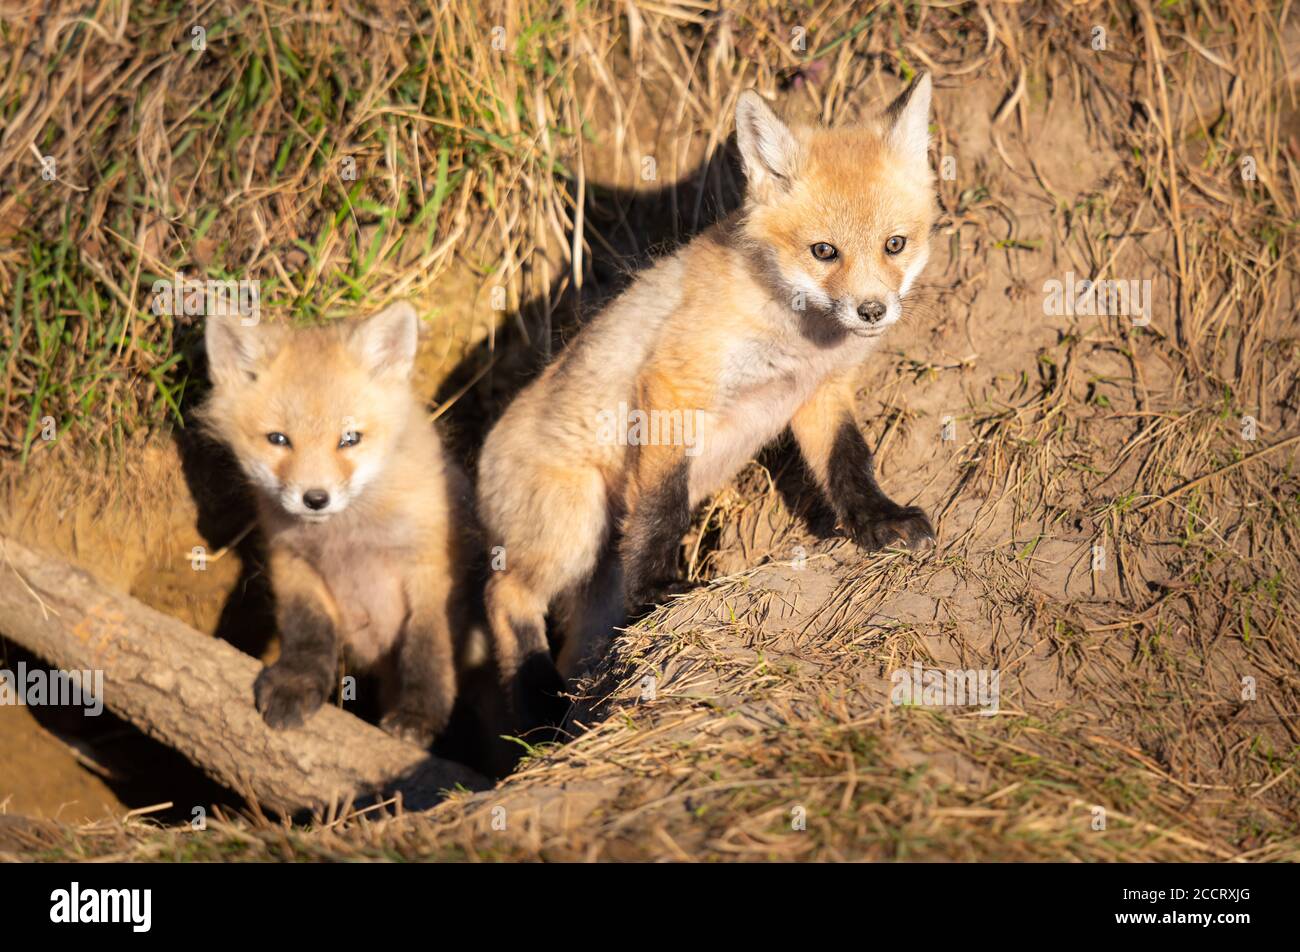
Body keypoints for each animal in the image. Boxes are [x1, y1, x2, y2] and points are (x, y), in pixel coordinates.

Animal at [201, 303, 481, 747]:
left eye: (350, 439)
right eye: (278, 439)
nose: (315, 498)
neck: (348, 539)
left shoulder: (431, 569)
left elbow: (427, 649)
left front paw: (420, 713)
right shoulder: (291, 561)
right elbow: (308, 631)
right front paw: (295, 684)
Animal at [477, 73, 940, 725]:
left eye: (894, 244)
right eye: (824, 251)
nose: (872, 311)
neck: (799, 342)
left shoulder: (819, 394)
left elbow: (849, 465)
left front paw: (880, 521)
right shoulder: (674, 385)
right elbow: (663, 507)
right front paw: (660, 589)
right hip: (574, 530)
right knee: (504, 593)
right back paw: (537, 700)